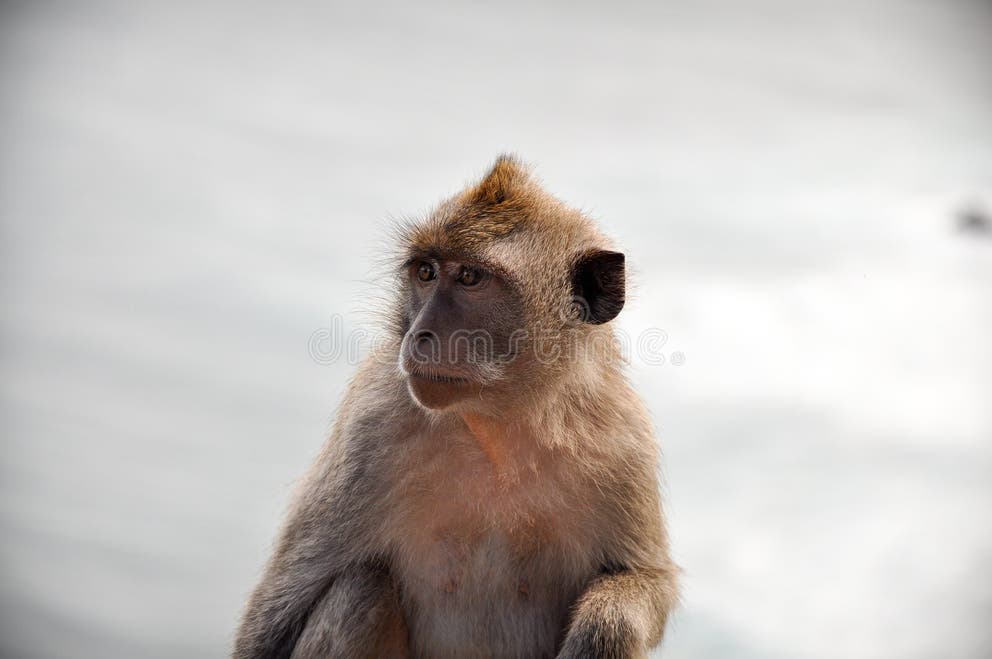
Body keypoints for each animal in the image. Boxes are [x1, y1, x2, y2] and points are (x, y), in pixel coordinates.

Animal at [233, 155, 679, 659]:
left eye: (470, 277)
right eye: (426, 273)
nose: (419, 334)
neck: (498, 426)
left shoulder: (623, 444)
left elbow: (644, 582)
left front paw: (602, 625)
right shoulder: (371, 426)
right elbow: (279, 609)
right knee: (360, 591)